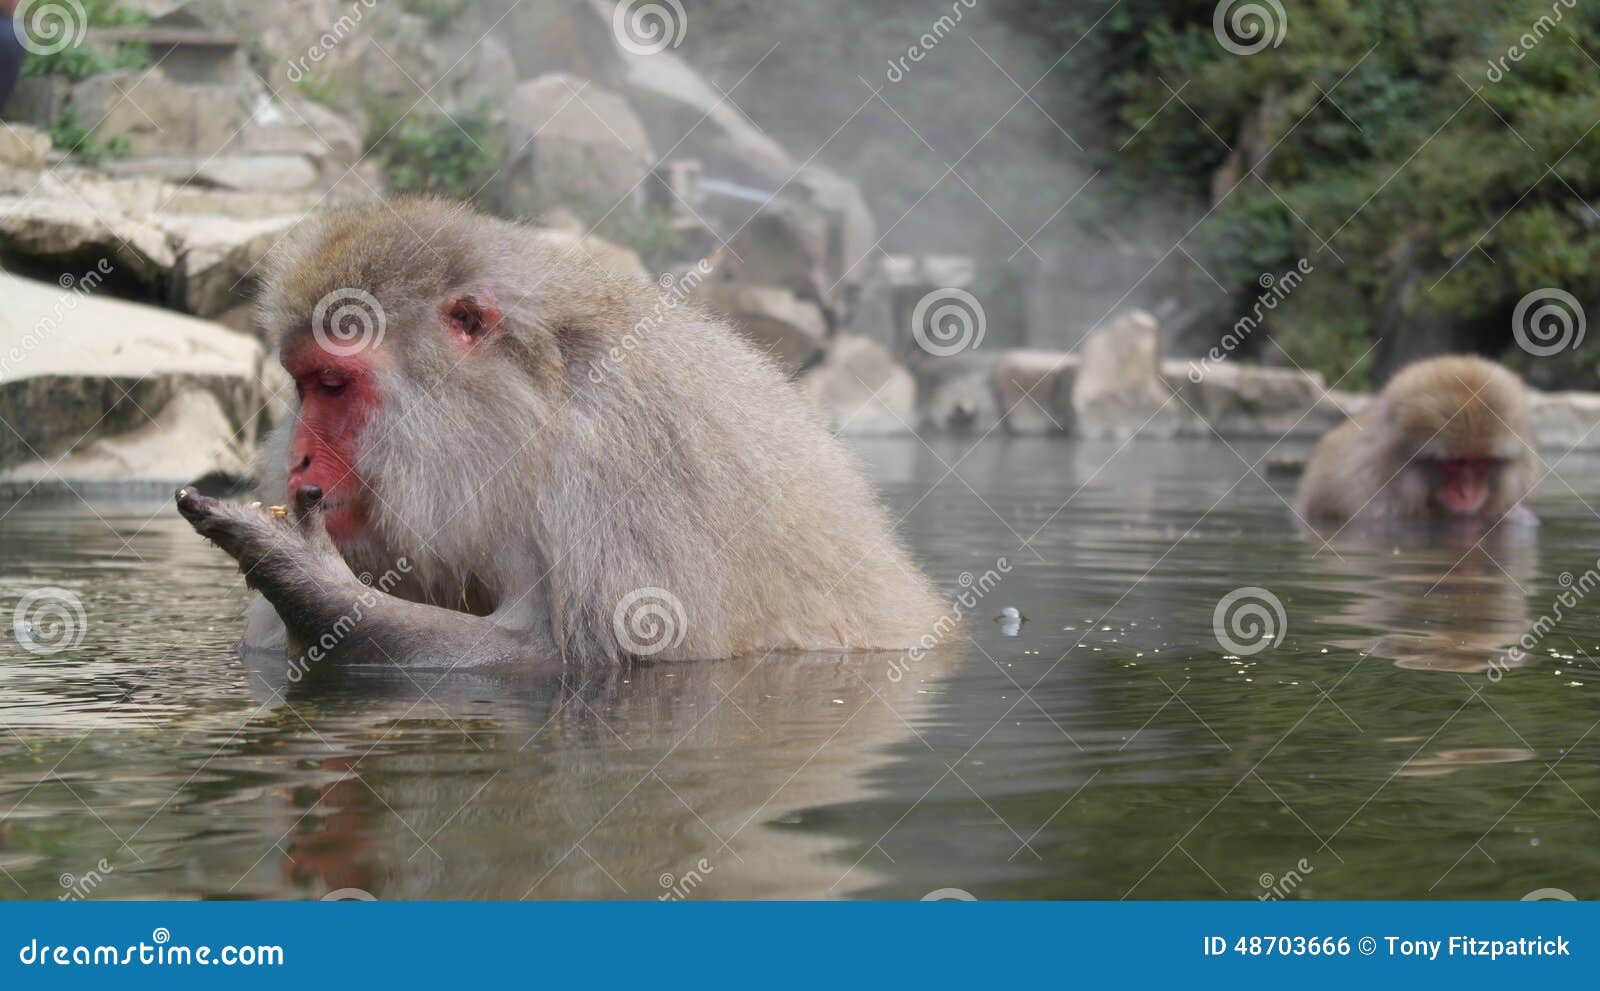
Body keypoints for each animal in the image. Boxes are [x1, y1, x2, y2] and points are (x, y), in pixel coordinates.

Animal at [176, 198, 950, 670]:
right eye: (302, 386)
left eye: (334, 386)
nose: (300, 453)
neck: (525, 425)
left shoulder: (628, 459)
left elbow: (576, 658)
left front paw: (306, 580)